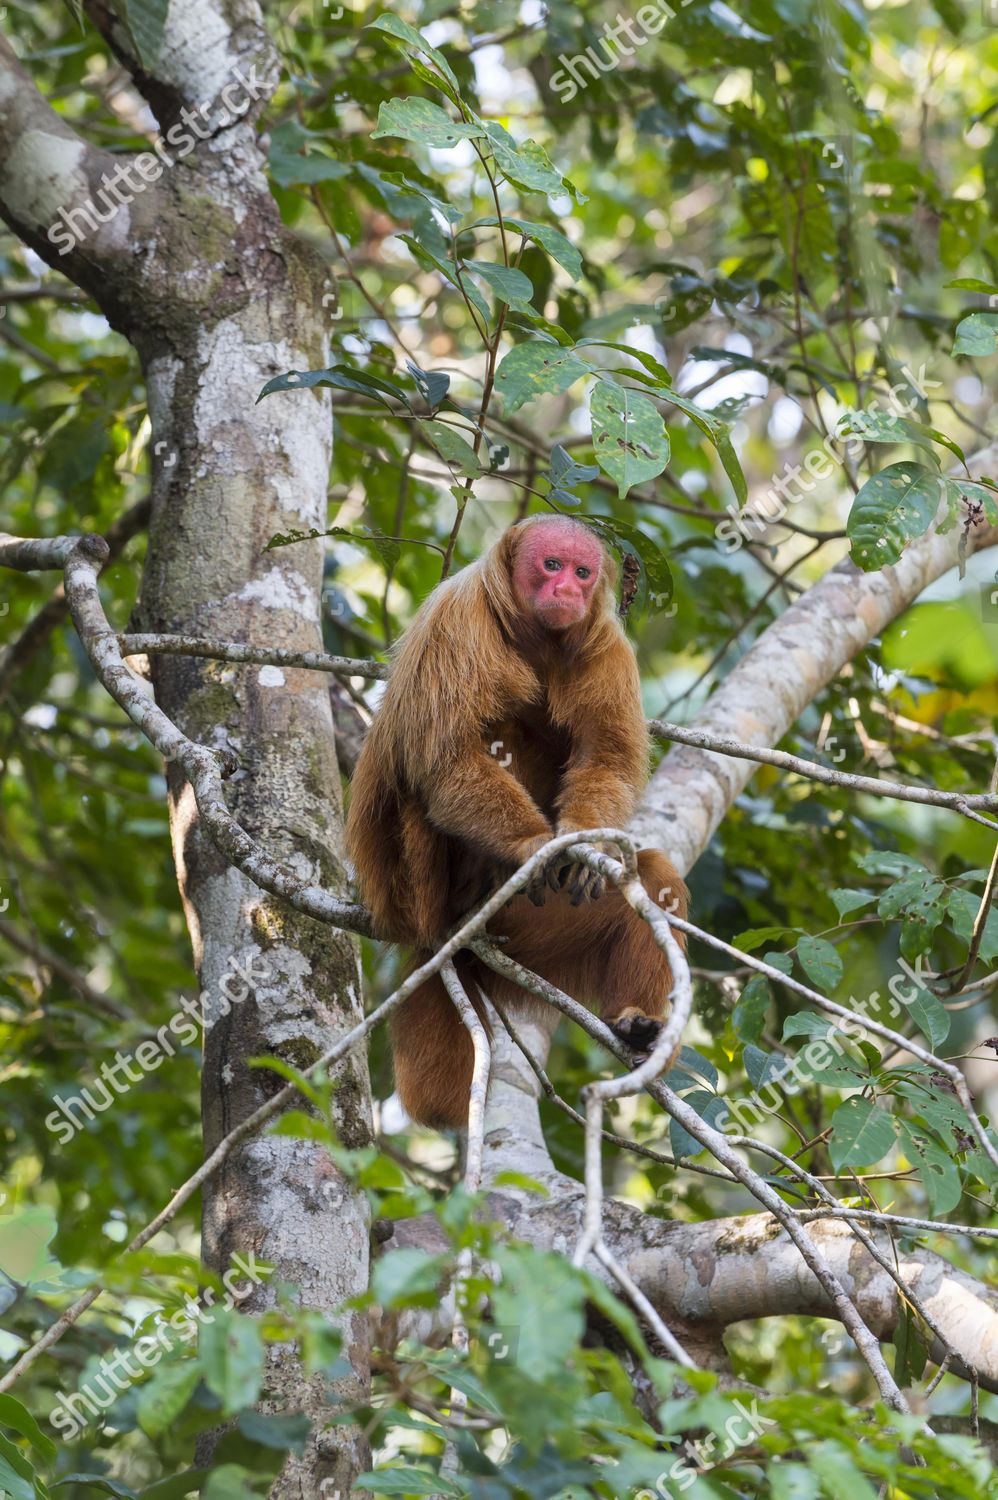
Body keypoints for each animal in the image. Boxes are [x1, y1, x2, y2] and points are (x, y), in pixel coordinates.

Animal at [345, 514, 688, 1127]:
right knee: (460, 743)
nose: (569, 590)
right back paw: (464, 902)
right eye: (551, 566)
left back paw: (639, 1027)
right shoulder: (457, 619)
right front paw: (533, 847)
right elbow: (448, 759)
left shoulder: (607, 648)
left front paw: (577, 852)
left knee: (651, 879)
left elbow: (606, 760)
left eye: (583, 571)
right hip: (414, 888)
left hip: (536, 935)